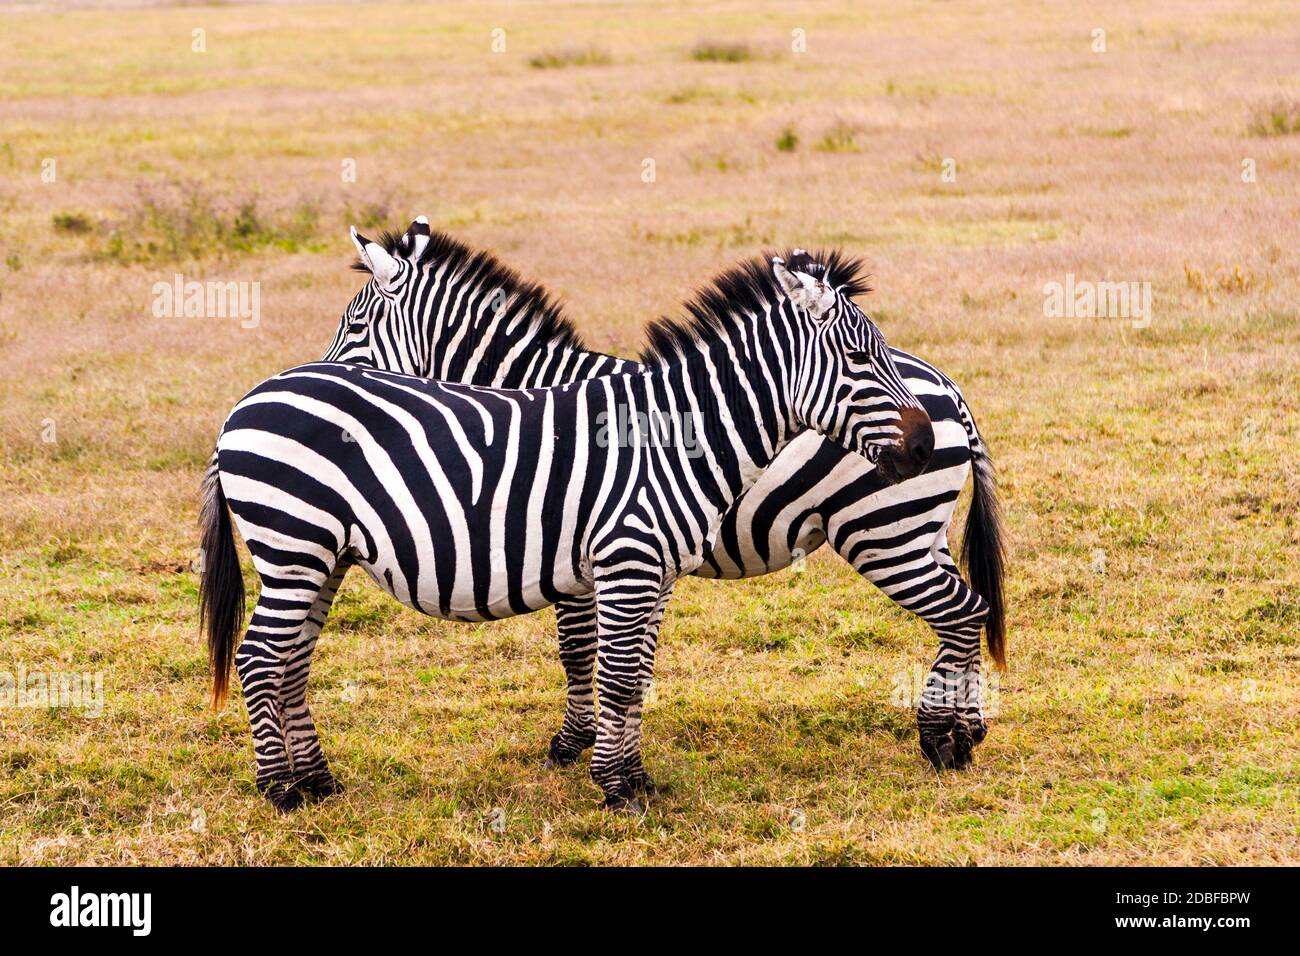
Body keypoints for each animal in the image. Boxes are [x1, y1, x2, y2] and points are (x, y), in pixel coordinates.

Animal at [200, 239, 937, 812]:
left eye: (354, 325)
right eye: (861, 359)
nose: (924, 445)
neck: (676, 435)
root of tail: (247, 402)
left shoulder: (653, 571)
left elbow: (633, 673)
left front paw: (630, 776)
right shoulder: (625, 562)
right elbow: (611, 671)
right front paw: (614, 786)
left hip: (318, 556)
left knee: (290, 660)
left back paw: (318, 783)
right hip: (294, 548)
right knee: (260, 656)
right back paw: (281, 791)